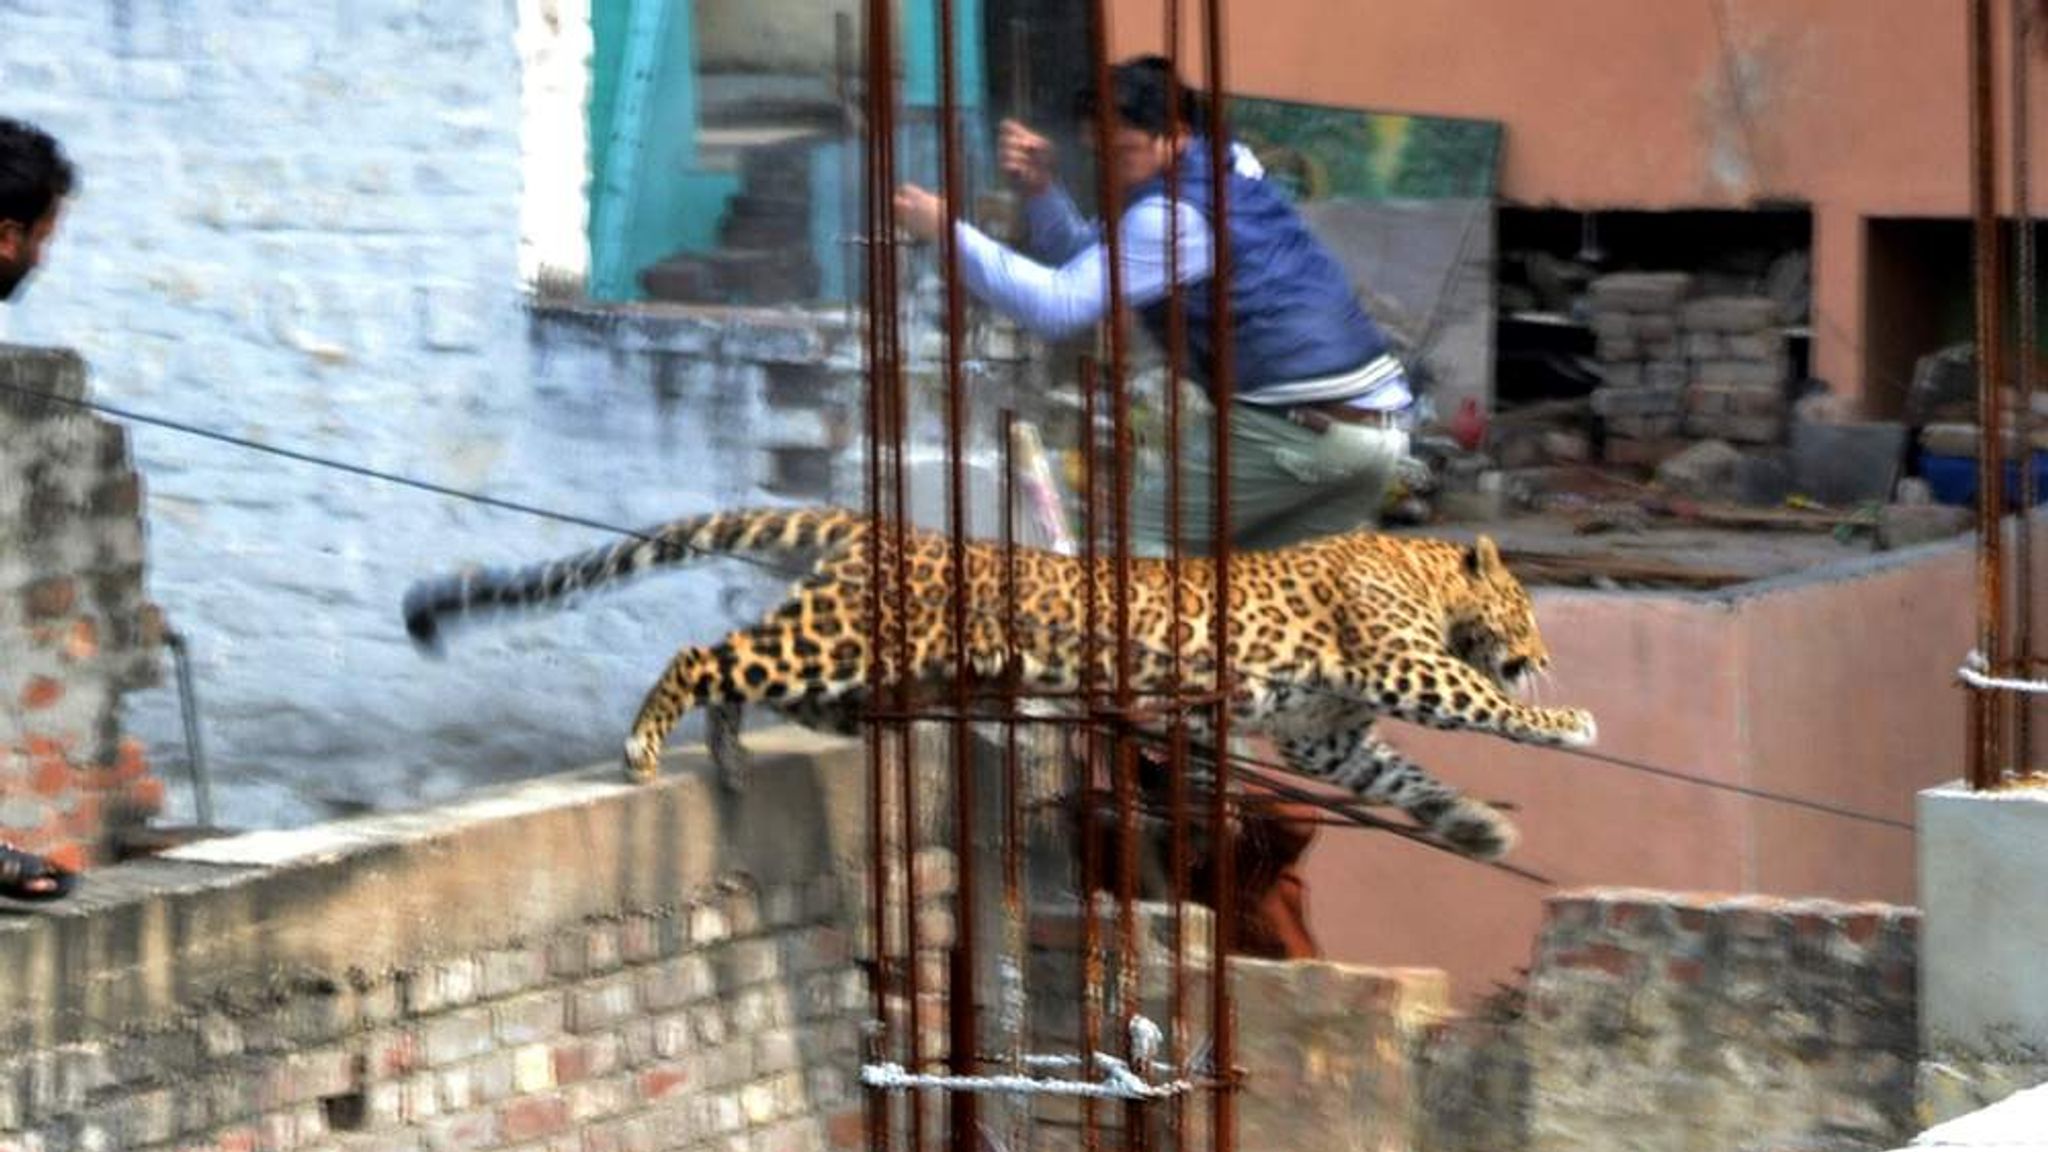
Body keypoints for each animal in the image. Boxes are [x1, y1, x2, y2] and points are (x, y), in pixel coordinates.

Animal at [401, 506, 1596, 861]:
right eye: (1531, 615)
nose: (1546, 651)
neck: (1422, 568)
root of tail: (872, 525)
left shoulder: (1323, 734)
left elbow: (1401, 777)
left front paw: (1474, 827)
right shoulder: (1403, 662)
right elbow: (1487, 708)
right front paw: (1568, 717)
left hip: (848, 661)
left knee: (744, 664)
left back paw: (732, 755)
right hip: (844, 641)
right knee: (706, 653)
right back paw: (648, 745)